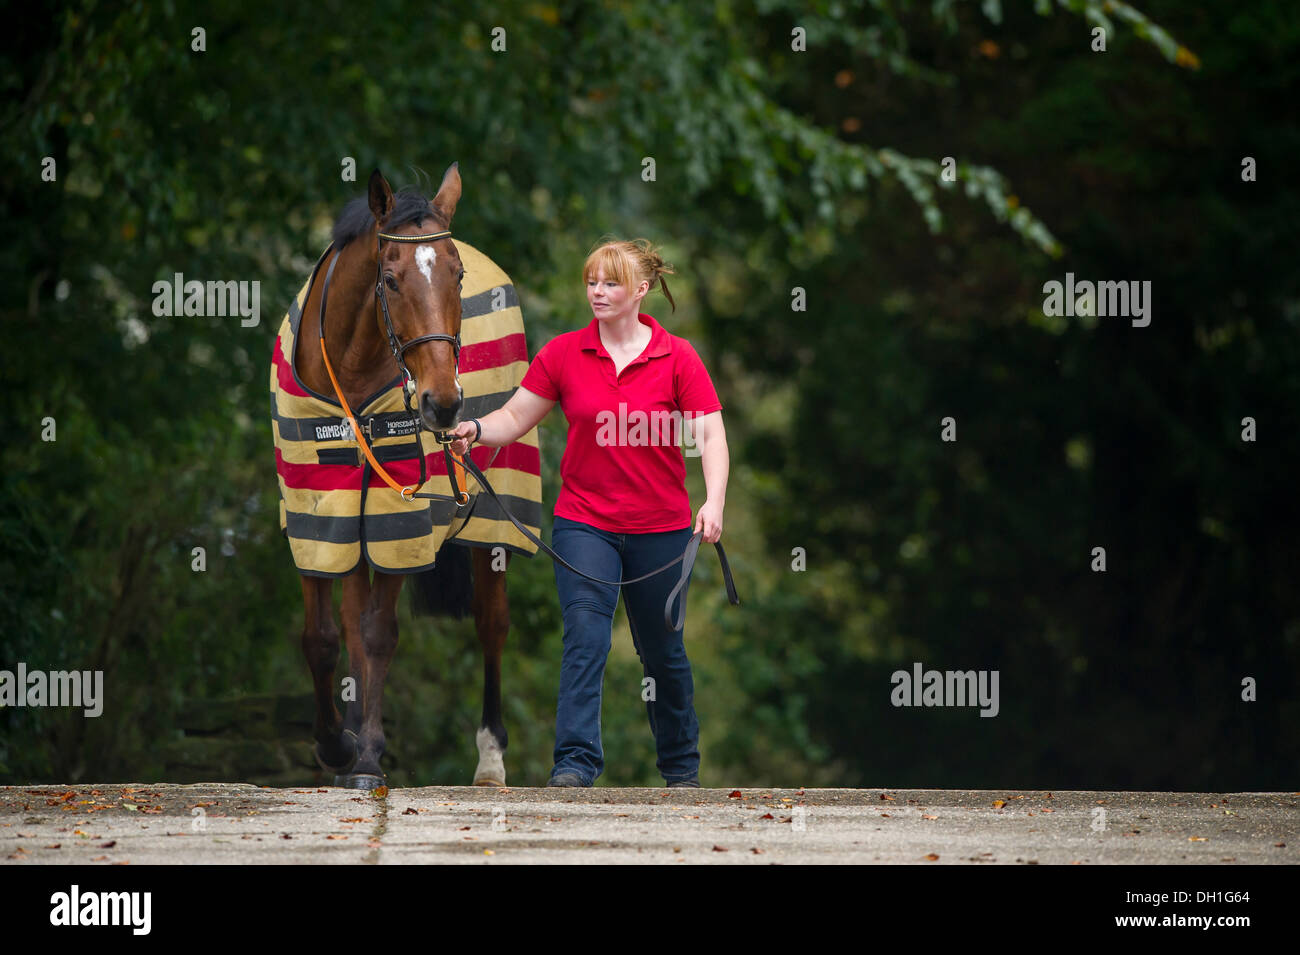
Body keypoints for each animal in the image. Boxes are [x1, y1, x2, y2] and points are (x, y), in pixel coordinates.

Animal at [269, 165, 541, 789]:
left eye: (457, 275)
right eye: (389, 280)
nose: (443, 404)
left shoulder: (401, 512)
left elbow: (378, 633)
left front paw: (366, 754)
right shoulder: (317, 505)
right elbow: (324, 637)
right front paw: (335, 746)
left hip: (494, 518)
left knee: (491, 622)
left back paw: (490, 759)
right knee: (350, 619)